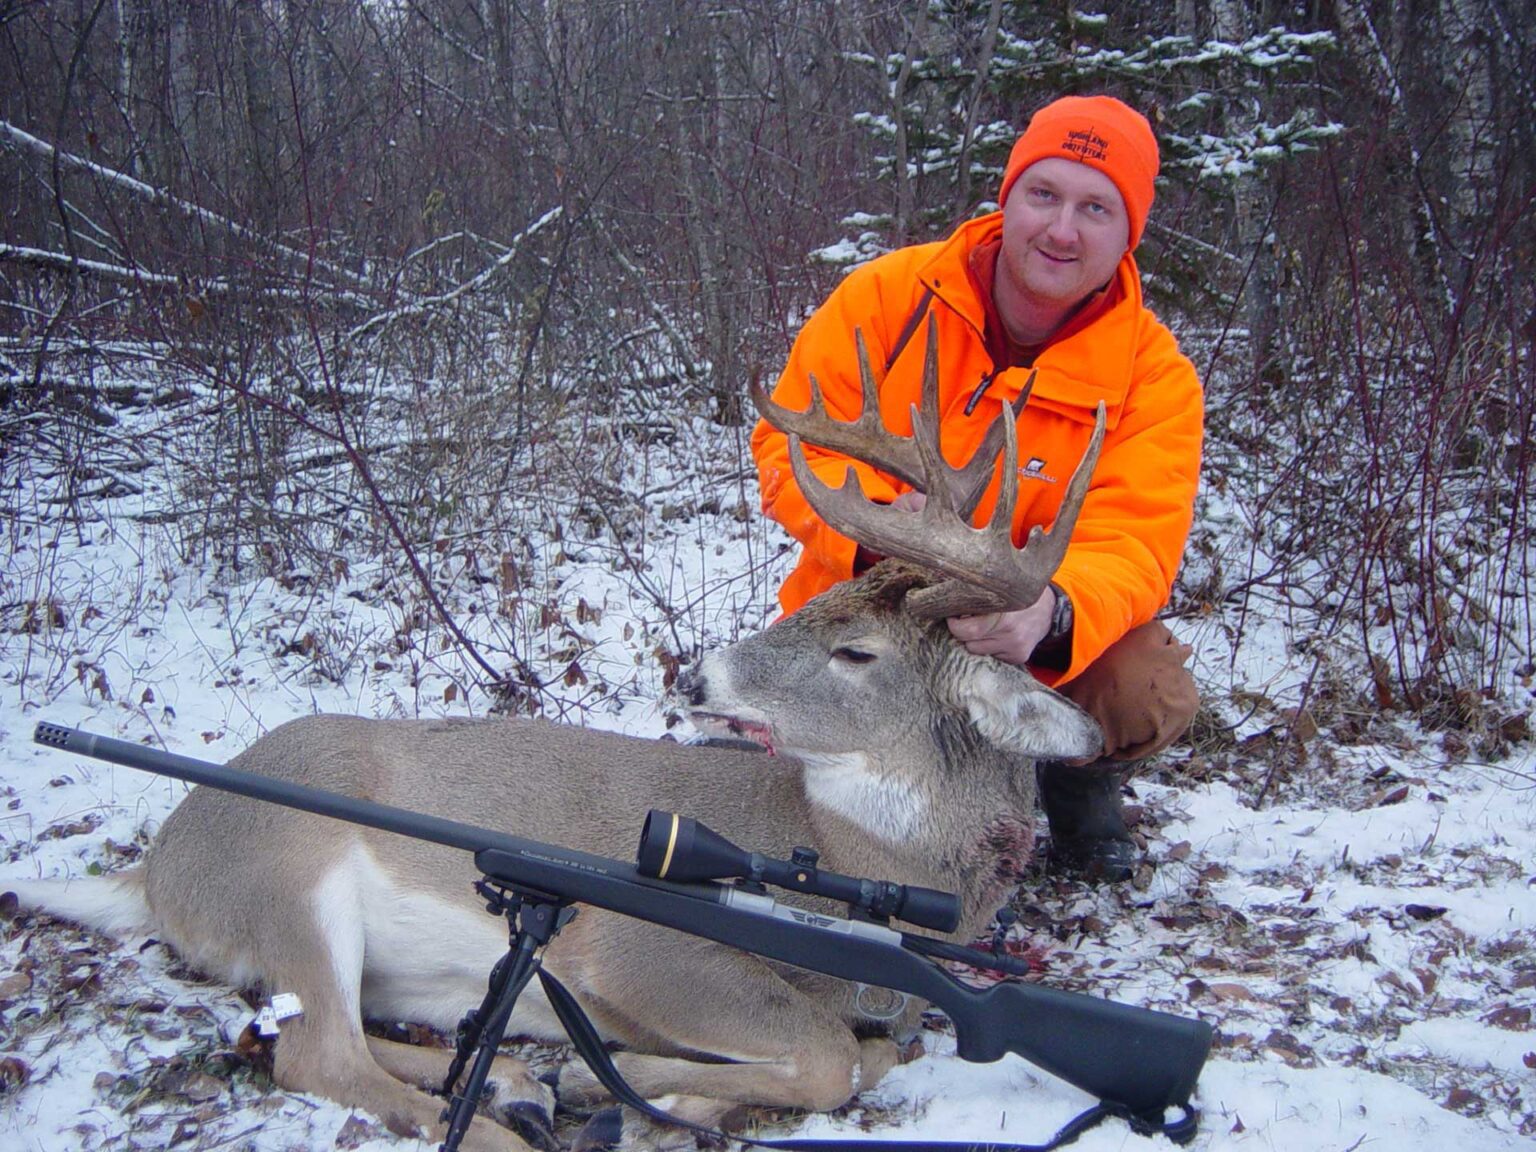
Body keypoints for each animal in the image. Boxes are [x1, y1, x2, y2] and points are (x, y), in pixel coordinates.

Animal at [8, 322, 1106, 1152]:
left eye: (856, 649)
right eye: (818, 604)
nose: (690, 674)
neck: (858, 860)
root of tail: (160, 864)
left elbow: (861, 1053)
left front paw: (648, 1089)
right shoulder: (634, 948)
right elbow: (836, 1056)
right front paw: (630, 1083)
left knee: (332, 1034)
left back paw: (517, 1085)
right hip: (291, 866)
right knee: (315, 1052)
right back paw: (518, 1110)